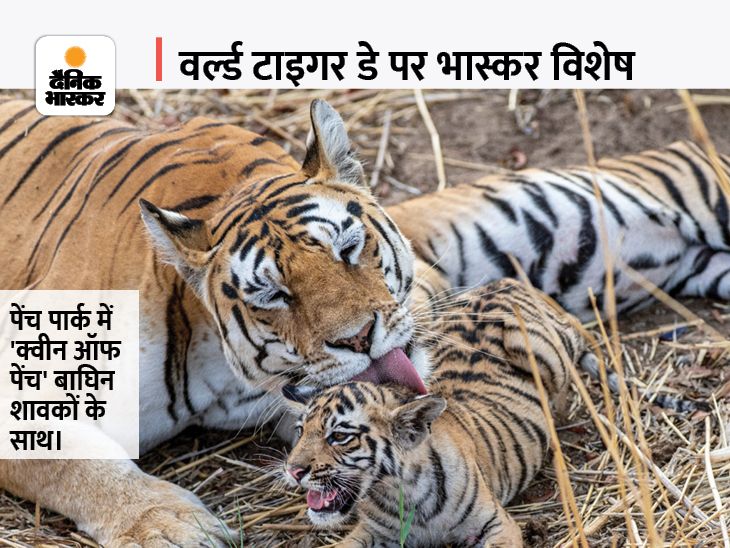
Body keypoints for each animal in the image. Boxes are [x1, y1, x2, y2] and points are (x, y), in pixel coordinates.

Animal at [282, 279, 589, 548]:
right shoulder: (372, 532)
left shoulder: (496, 523)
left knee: (575, 329)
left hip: (537, 348)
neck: (400, 492)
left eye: (339, 436)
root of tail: (501, 281)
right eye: (300, 432)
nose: (292, 471)